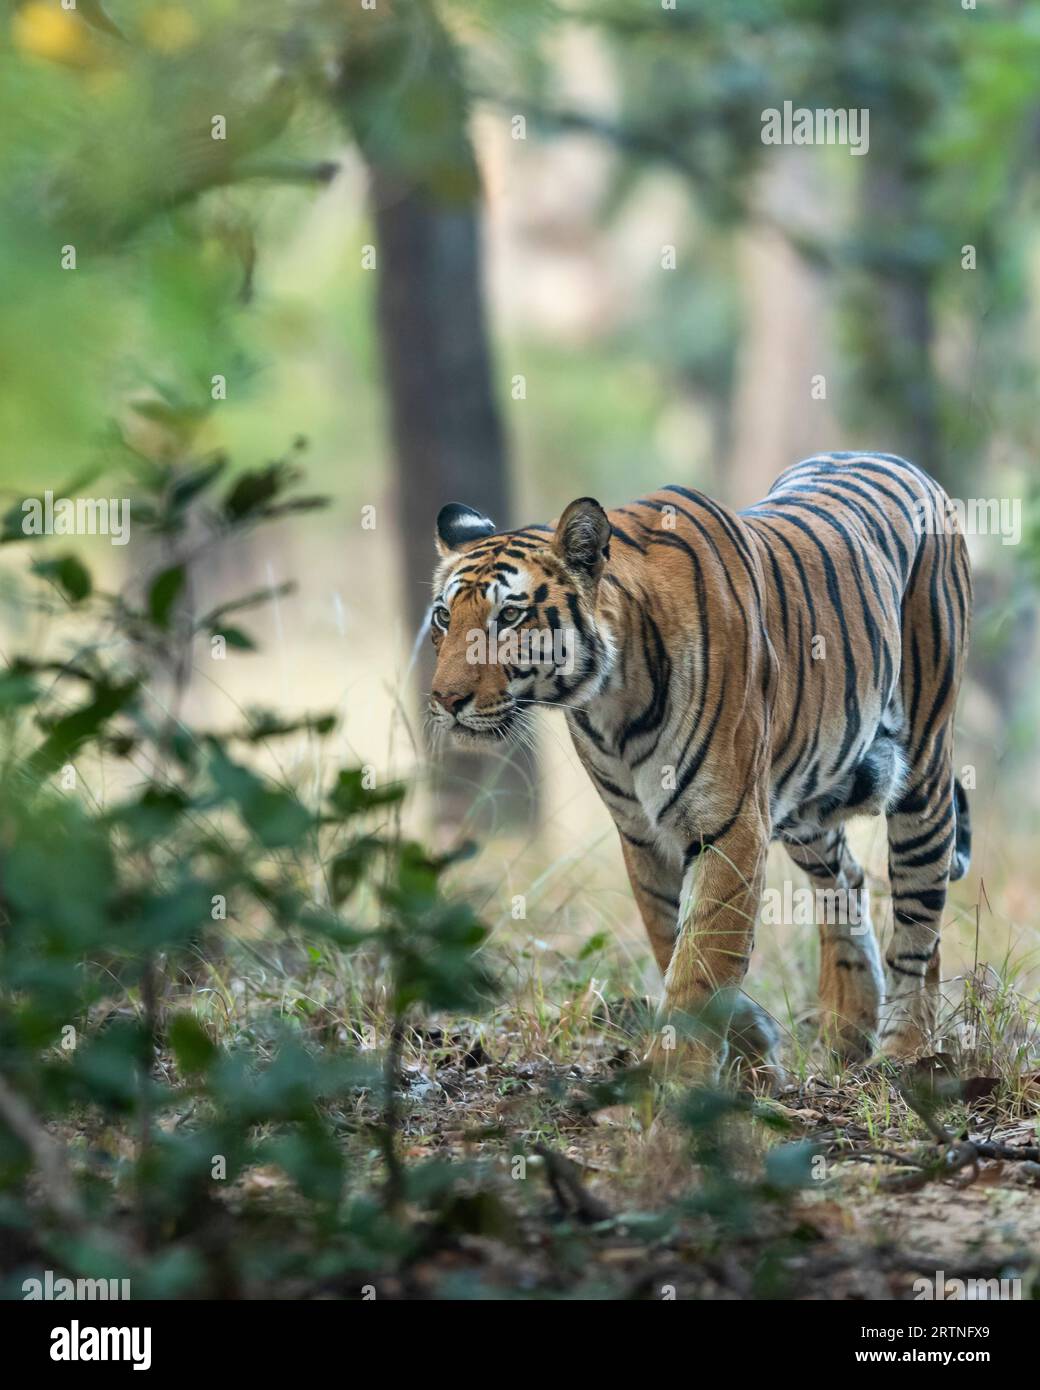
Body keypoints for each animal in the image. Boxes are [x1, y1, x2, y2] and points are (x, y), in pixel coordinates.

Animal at [428, 453, 972, 1077]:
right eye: (443, 617)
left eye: (511, 617)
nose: (444, 699)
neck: (612, 701)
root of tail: (902, 463)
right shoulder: (642, 833)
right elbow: (673, 941)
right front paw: (749, 1046)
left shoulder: (730, 825)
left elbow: (702, 956)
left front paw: (677, 1077)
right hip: (808, 797)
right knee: (846, 880)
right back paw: (847, 1031)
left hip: (922, 775)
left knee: (920, 921)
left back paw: (906, 1053)